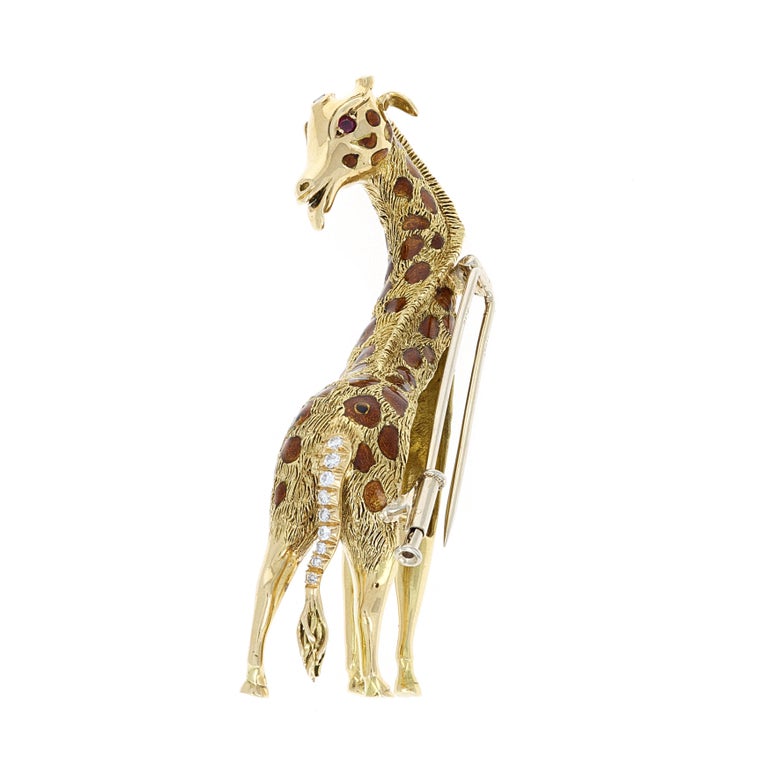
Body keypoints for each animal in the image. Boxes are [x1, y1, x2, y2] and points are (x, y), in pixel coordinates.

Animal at [241, 76, 491, 697]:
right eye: (309, 127)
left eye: (352, 123)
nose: (306, 189)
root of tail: (331, 438)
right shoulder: (412, 500)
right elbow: (404, 579)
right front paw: (402, 684)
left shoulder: (376, 508)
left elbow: (351, 588)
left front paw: (357, 681)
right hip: (354, 512)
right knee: (370, 588)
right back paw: (377, 688)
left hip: (293, 501)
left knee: (269, 576)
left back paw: (258, 683)